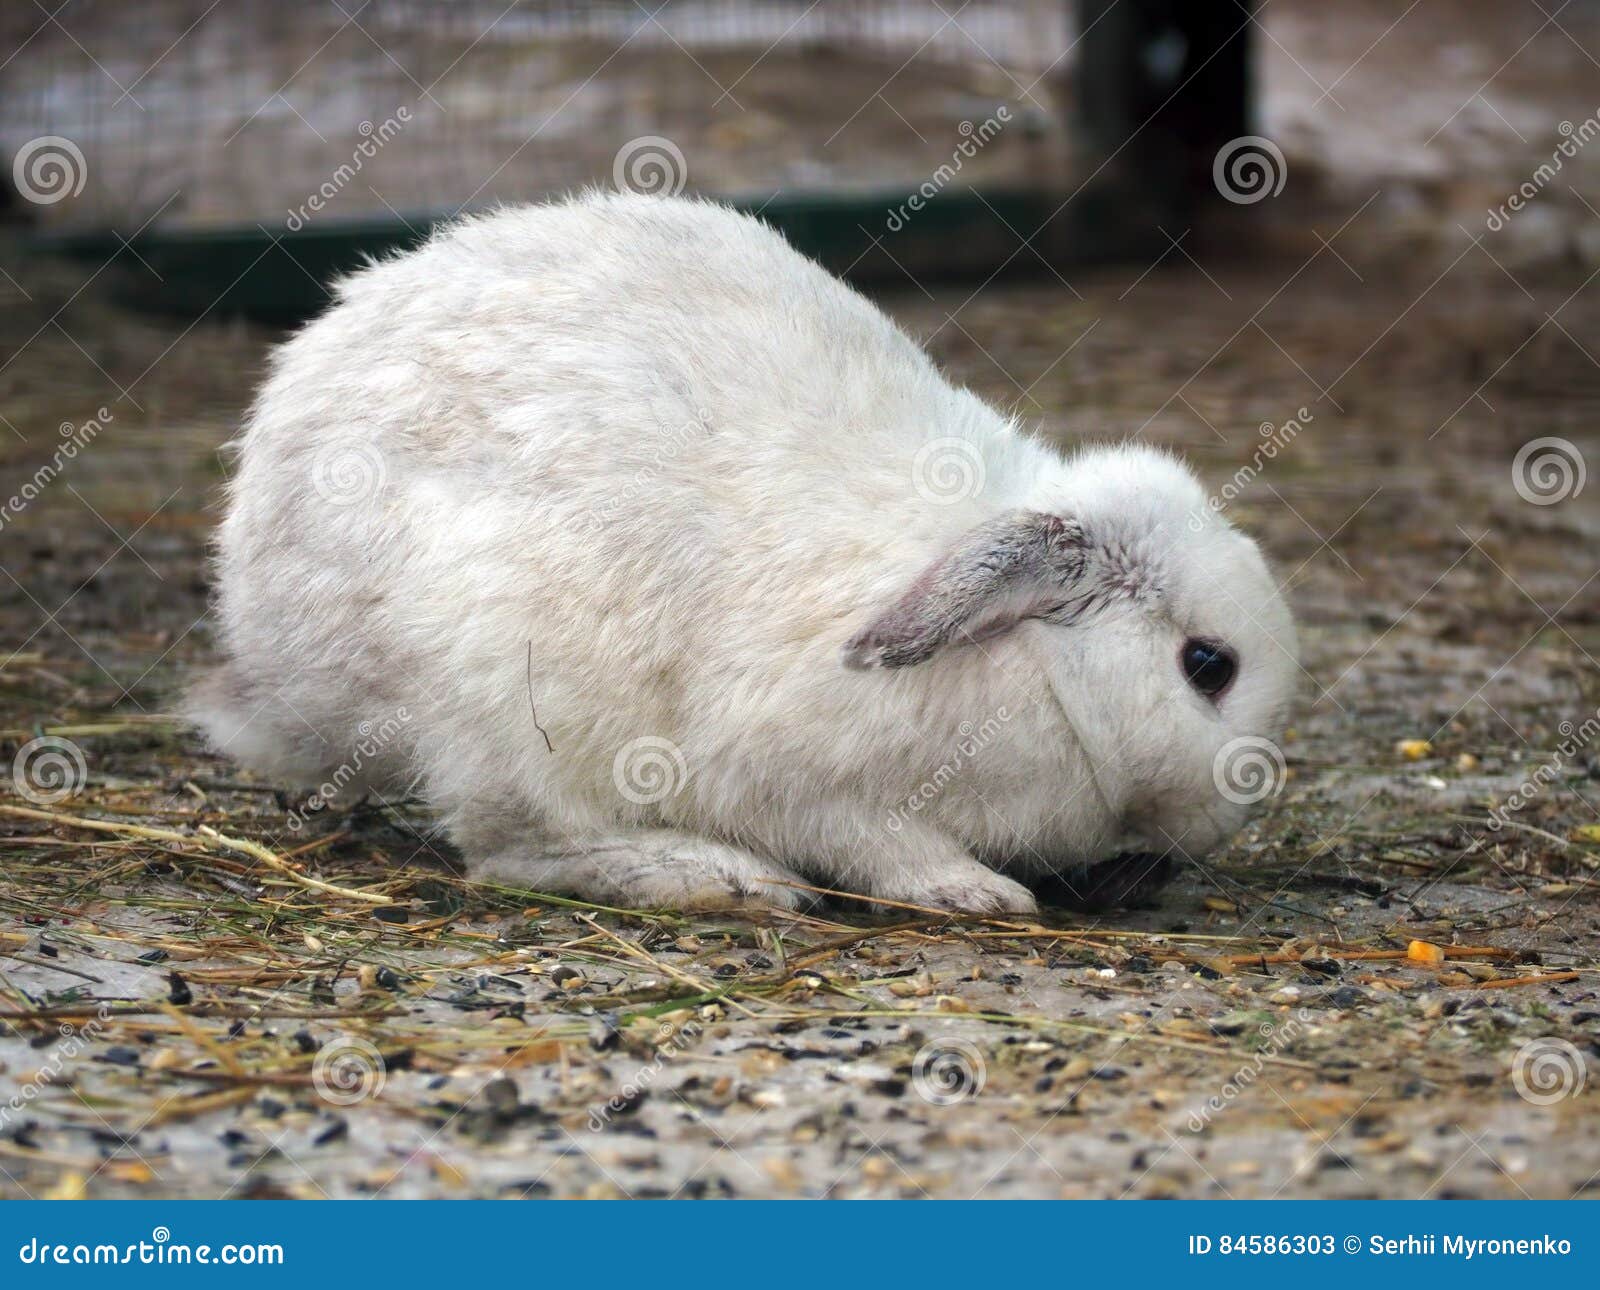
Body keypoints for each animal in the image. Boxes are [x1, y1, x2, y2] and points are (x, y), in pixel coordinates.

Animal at [193, 191, 1299, 916]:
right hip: (503, 691)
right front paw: (977, 894)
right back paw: (716, 877)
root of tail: (268, 646)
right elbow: (879, 845)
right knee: (514, 847)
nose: (1221, 822)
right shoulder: (807, 785)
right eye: (1208, 666)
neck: (1043, 668)